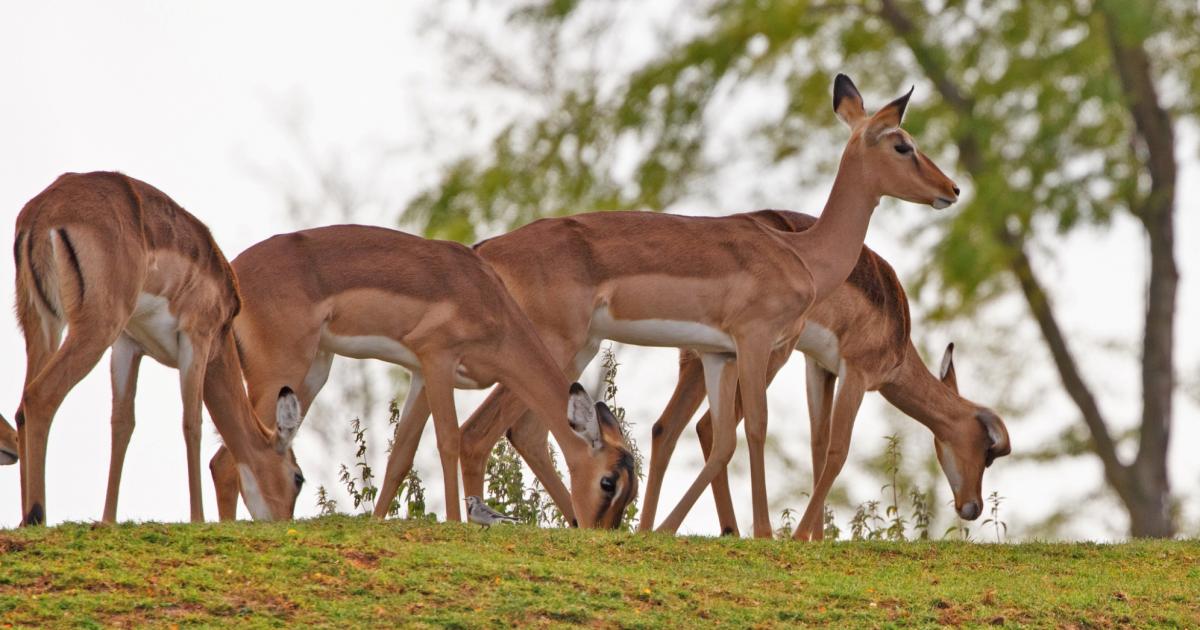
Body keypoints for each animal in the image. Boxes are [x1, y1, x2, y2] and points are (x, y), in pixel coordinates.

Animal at [12, 171, 306, 525]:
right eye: (298, 477)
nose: (282, 521)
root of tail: (45, 209)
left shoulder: (128, 345)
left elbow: (122, 423)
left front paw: (108, 520)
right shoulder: (197, 340)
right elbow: (192, 423)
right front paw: (197, 518)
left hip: (44, 325)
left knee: (22, 408)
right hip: (95, 329)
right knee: (40, 396)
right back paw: (36, 515)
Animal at [205, 225, 637, 528]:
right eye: (608, 482)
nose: (597, 530)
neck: (488, 300)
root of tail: (234, 274)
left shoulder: (420, 375)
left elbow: (401, 456)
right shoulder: (438, 360)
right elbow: (448, 441)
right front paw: (456, 522)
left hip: (311, 376)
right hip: (281, 372)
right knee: (227, 460)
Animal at [445, 74, 961, 537]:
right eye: (902, 145)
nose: (952, 189)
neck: (803, 255)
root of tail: (487, 250)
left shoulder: (719, 355)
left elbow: (722, 440)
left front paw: (666, 528)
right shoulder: (755, 343)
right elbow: (756, 427)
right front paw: (764, 533)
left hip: (574, 352)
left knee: (525, 432)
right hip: (549, 346)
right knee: (479, 432)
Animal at [635, 210, 1010, 539]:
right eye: (989, 449)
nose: (972, 506)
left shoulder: (819, 368)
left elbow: (817, 443)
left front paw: (815, 538)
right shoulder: (855, 373)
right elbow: (836, 450)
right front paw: (801, 535)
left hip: (701, 364)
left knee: (667, 428)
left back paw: (656, 529)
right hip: (760, 359)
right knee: (709, 426)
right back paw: (730, 531)